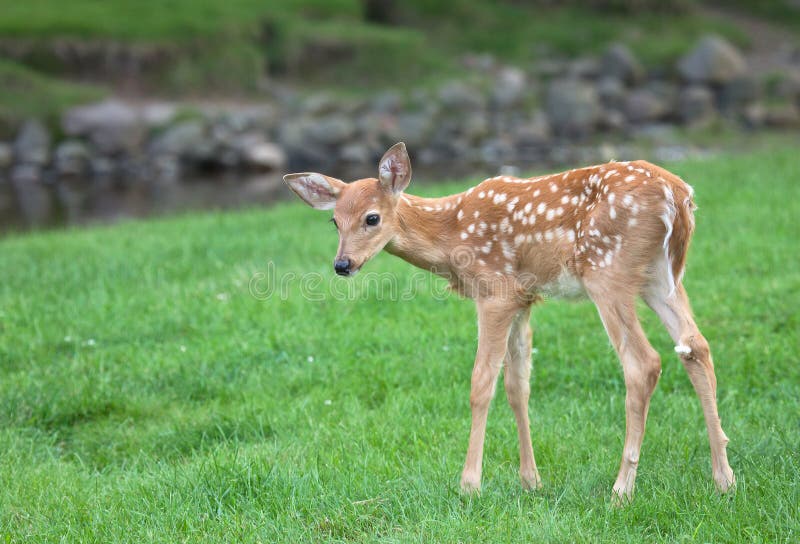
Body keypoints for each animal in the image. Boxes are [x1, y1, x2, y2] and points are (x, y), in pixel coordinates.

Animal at [283, 142, 735, 502]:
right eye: (335, 221)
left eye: (372, 218)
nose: (342, 264)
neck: (451, 235)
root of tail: (679, 196)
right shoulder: (524, 297)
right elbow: (519, 386)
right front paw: (531, 481)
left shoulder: (495, 291)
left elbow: (481, 384)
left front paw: (469, 484)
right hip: (662, 275)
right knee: (696, 346)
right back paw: (724, 479)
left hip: (608, 271)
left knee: (643, 363)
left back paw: (621, 489)